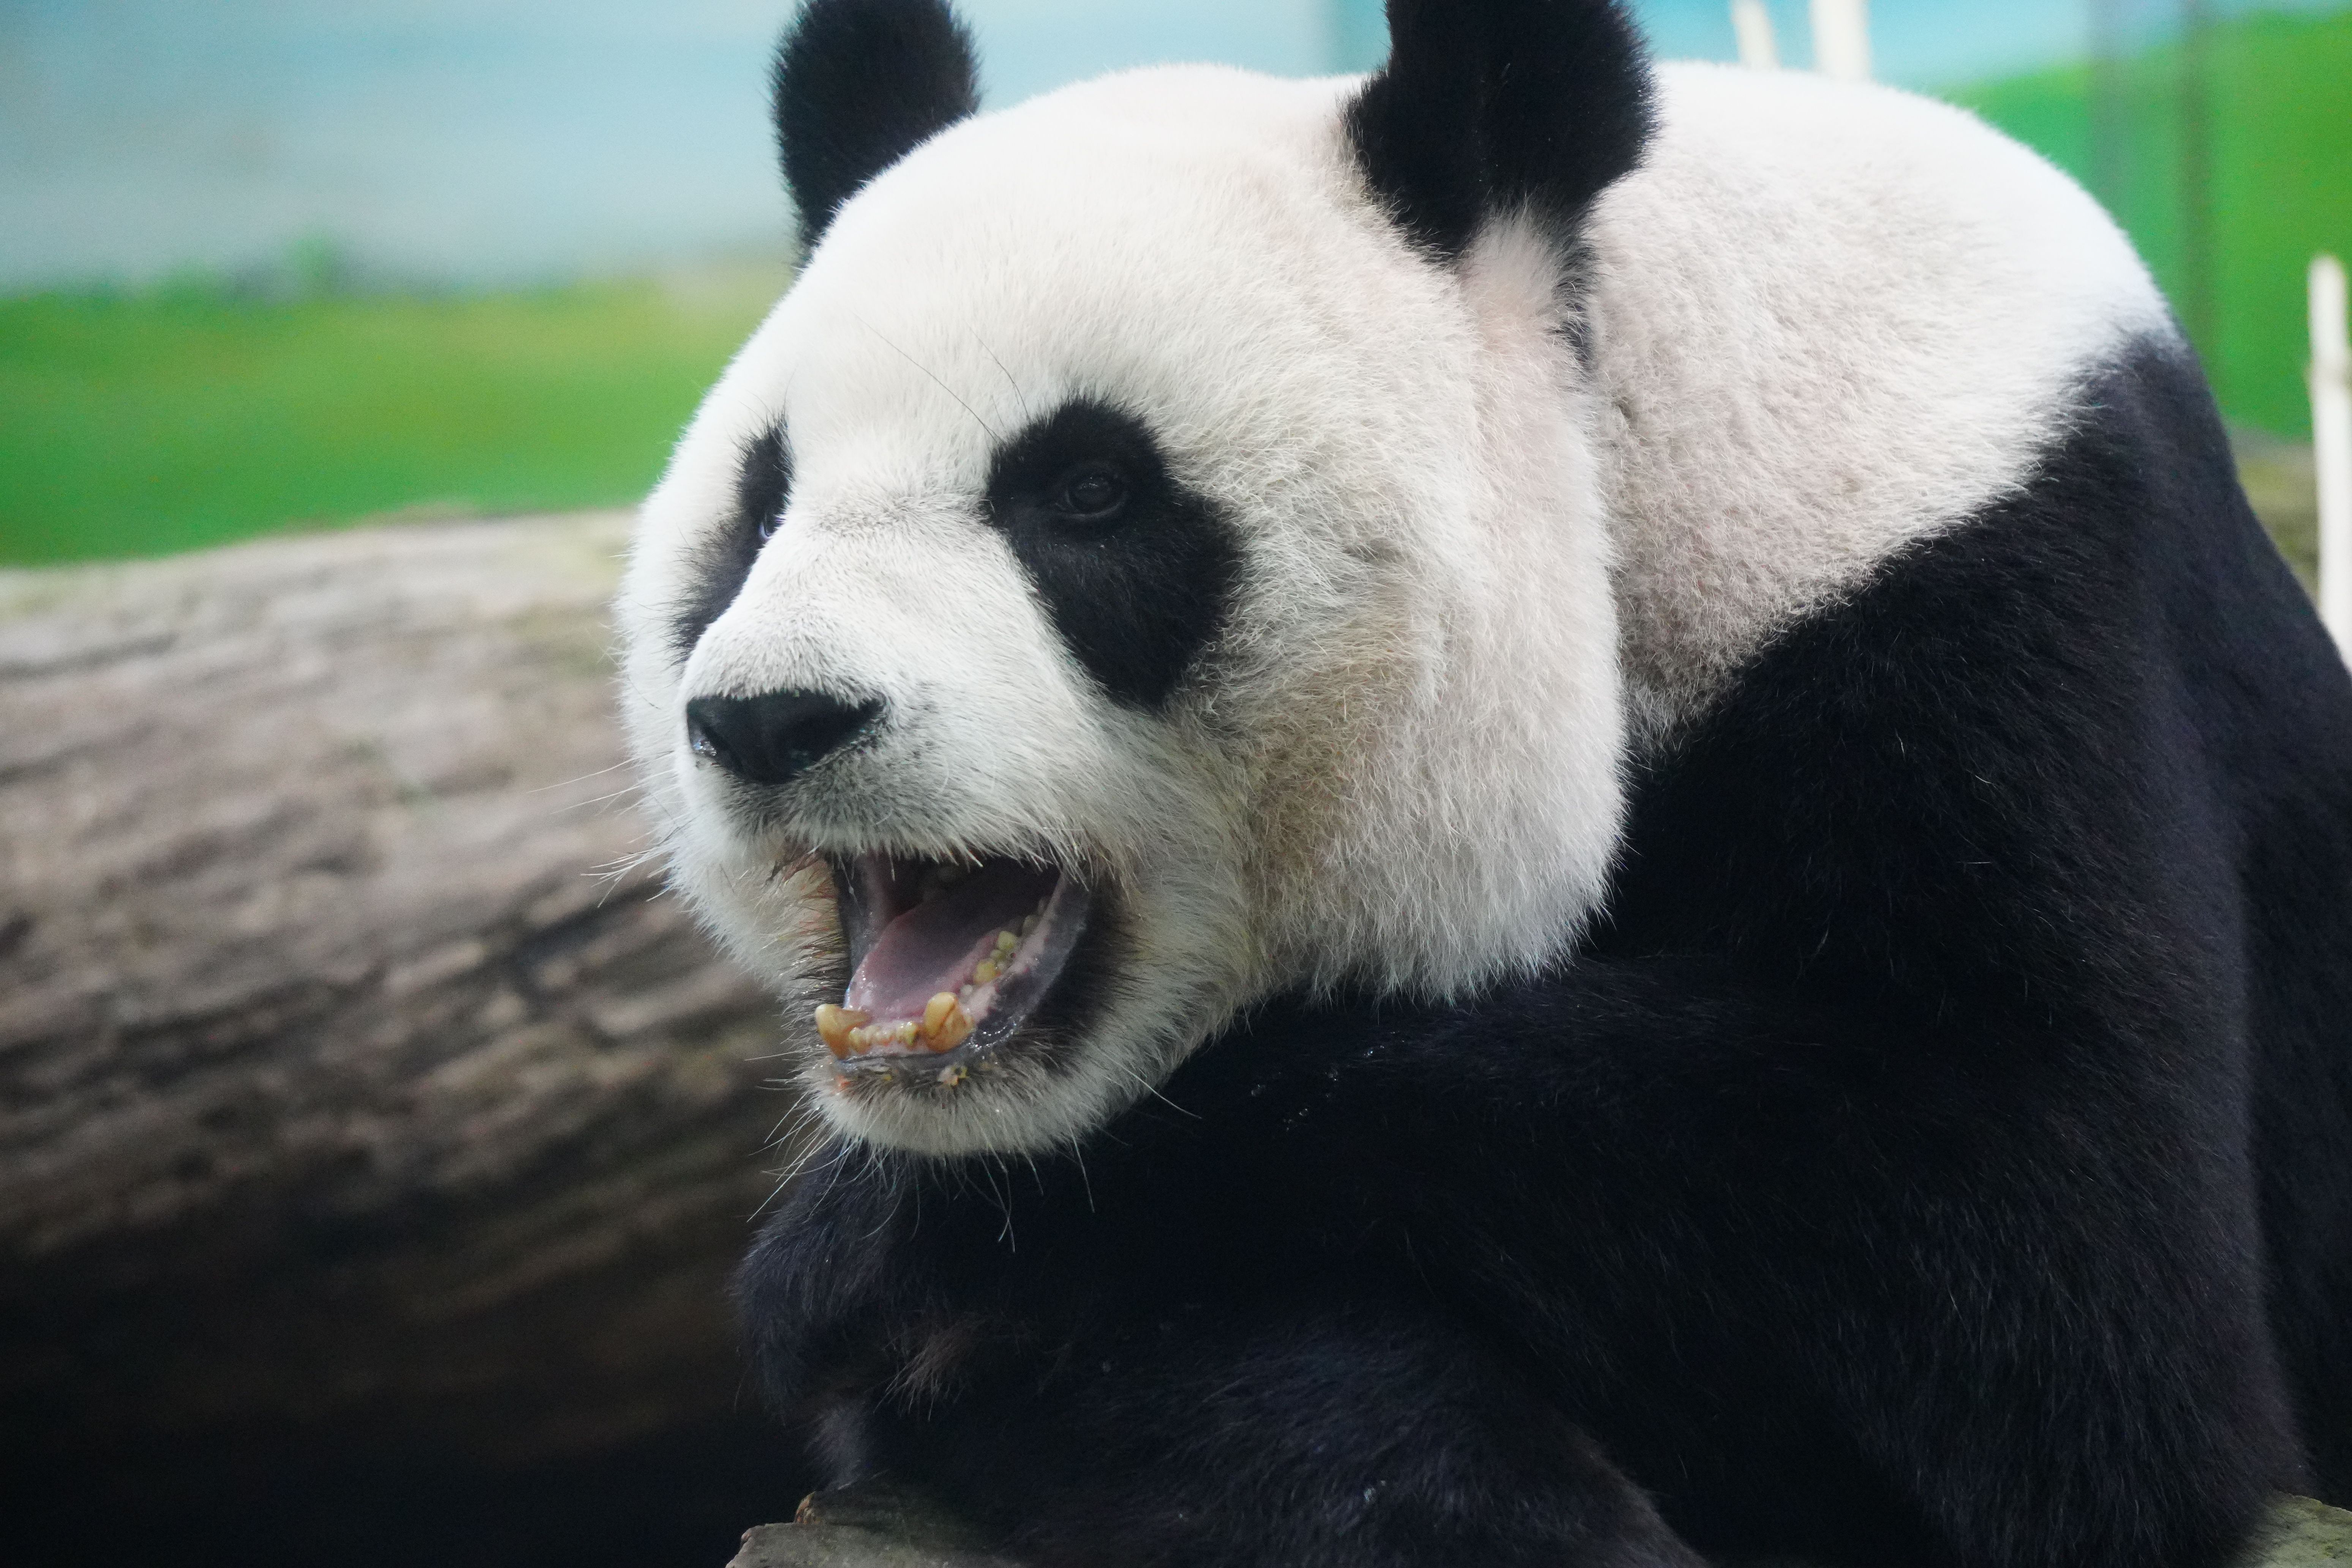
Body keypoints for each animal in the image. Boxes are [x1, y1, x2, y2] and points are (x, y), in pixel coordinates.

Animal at [614, 0, 2352, 1563]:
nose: (772, 720)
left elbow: (2040, 1239)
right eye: (760, 508)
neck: (1623, 384)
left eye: (1088, 493)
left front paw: (859, 1250)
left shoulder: (1975, 595)